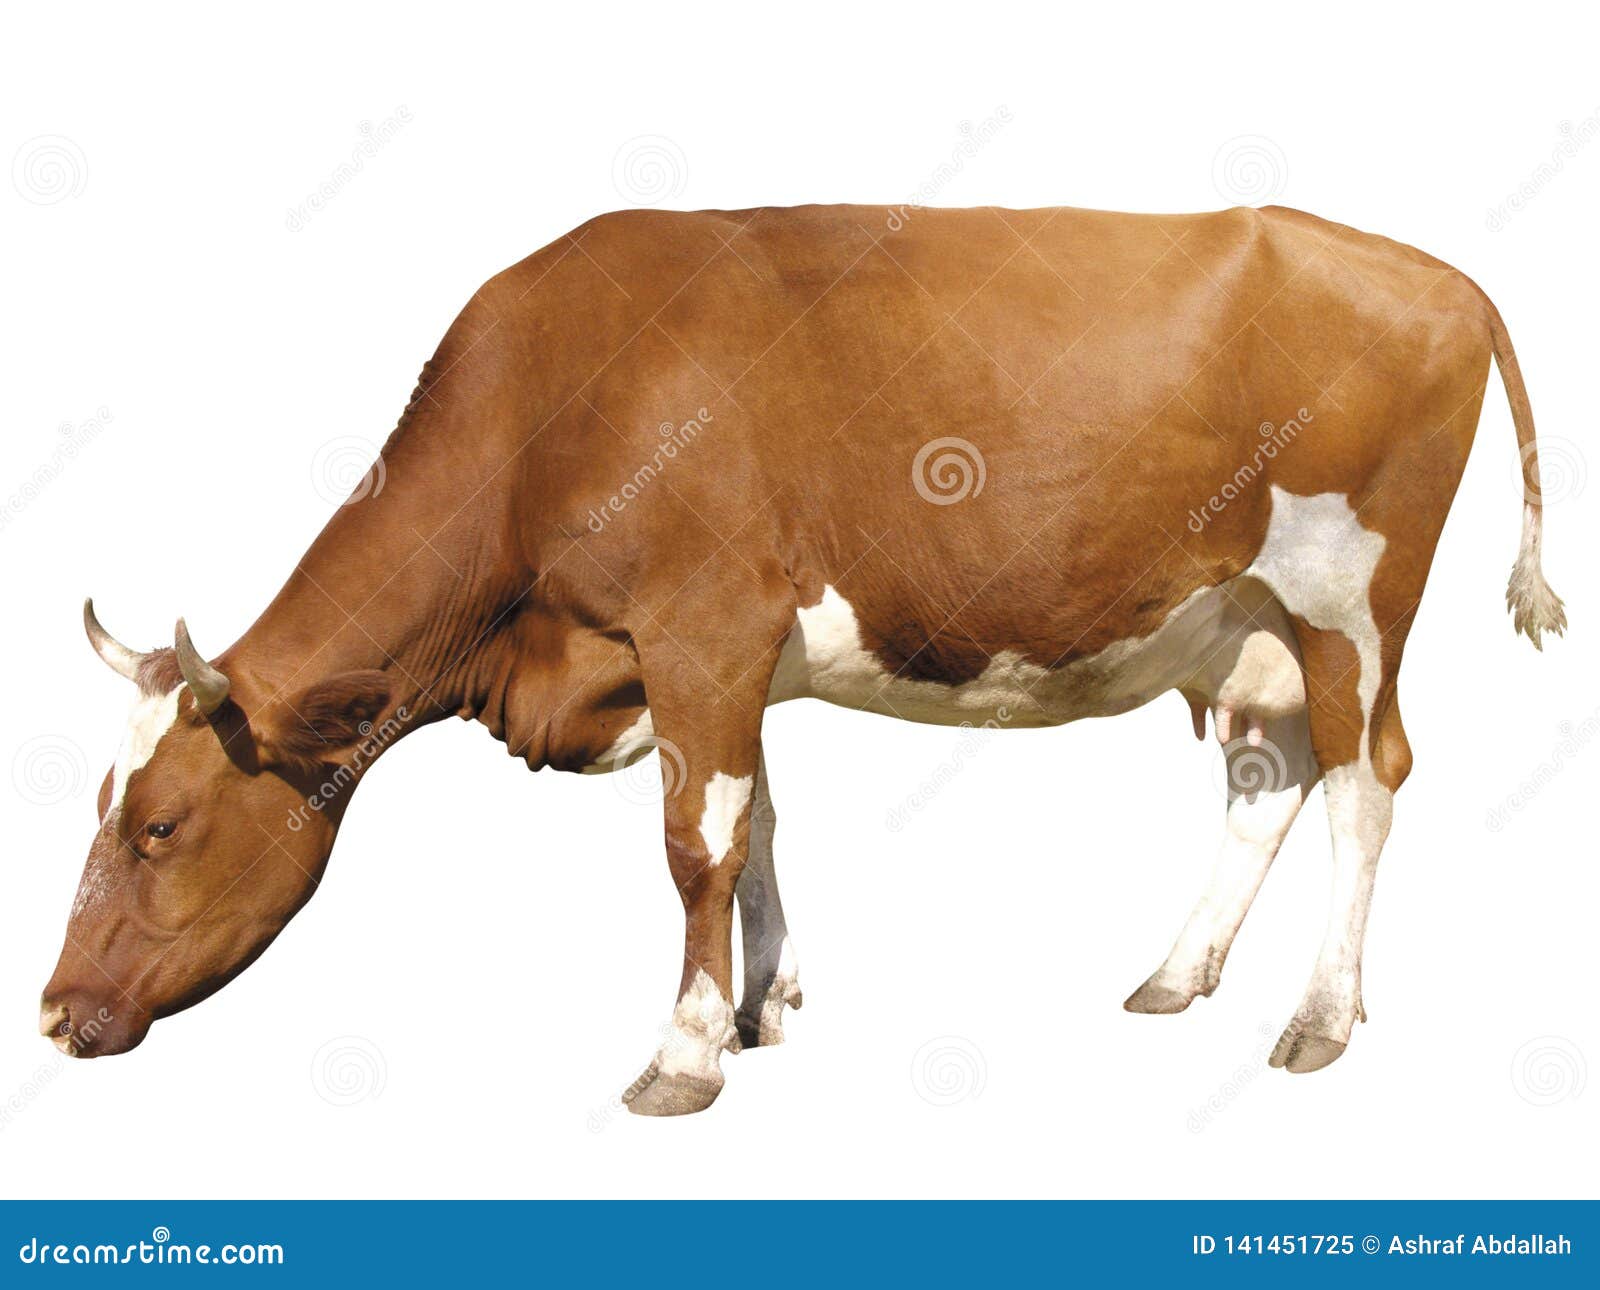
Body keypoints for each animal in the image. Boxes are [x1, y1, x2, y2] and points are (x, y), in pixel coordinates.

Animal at [42, 203, 1563, 1115]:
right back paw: (1176, 974)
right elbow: (759, 818)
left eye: (161, 822)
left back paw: (1321, 1017)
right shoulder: (728, 656)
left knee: (1368, 782)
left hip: (1351, 600)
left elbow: (694, 841)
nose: (55, 1014)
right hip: (1246, 621)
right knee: (1268, 780)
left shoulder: (701, 623)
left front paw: (683, 1050)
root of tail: (1433, 269)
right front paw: (763, 1005)